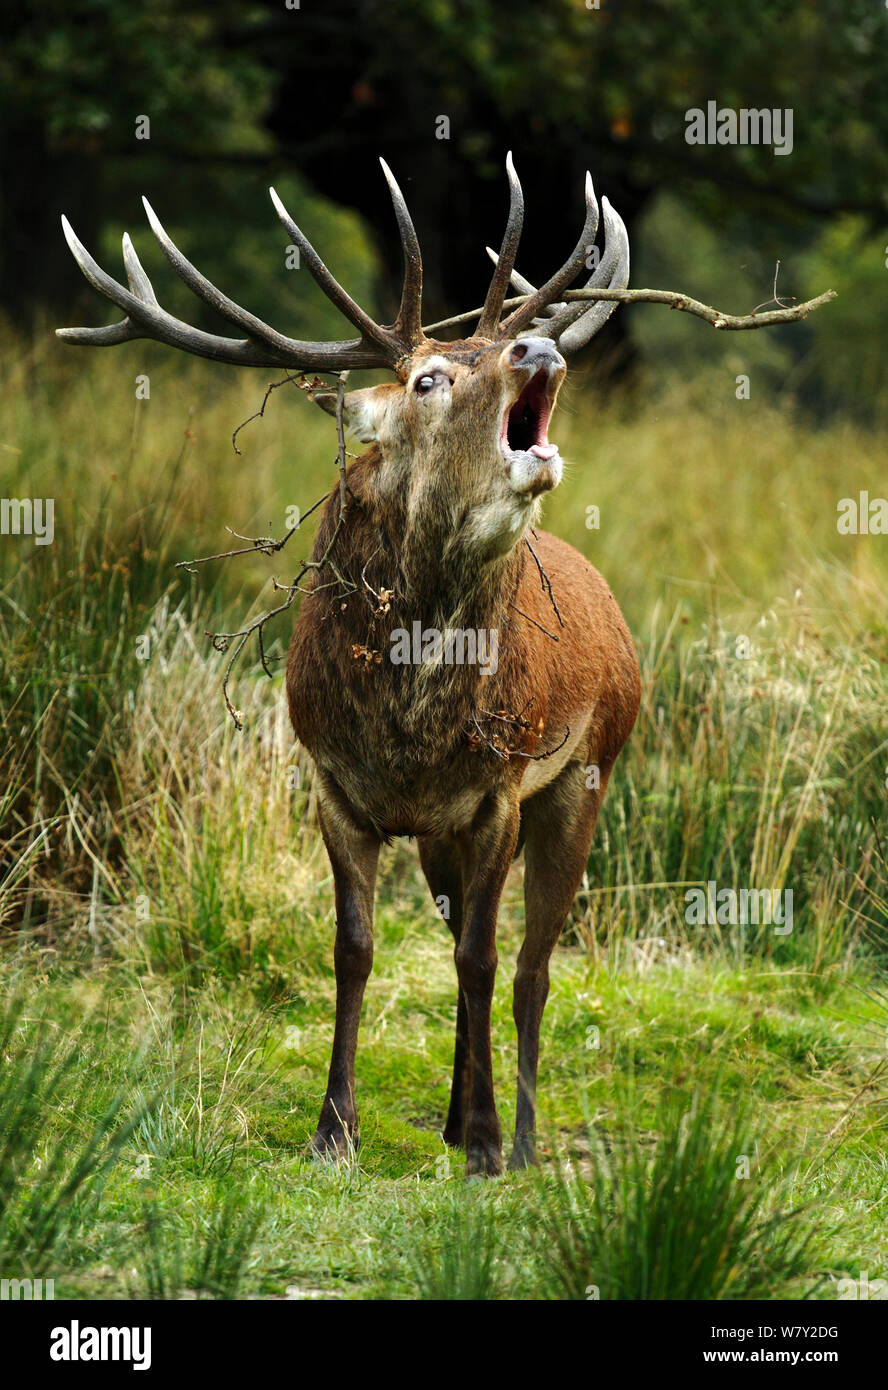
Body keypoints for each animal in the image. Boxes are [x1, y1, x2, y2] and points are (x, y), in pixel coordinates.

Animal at [57, 155, 641, 1176]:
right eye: (429, 379)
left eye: (504, 348)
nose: (538, 349)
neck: (405, 731)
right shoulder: (332, 782)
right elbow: (355, 948)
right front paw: (336, 1131)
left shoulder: (497, 792)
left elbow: (487, 959)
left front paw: (487, 1144)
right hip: (456, 832)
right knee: (471, 949)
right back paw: (450, 1117)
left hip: (589, 770)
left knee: (531, 966)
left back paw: (521, 1138)